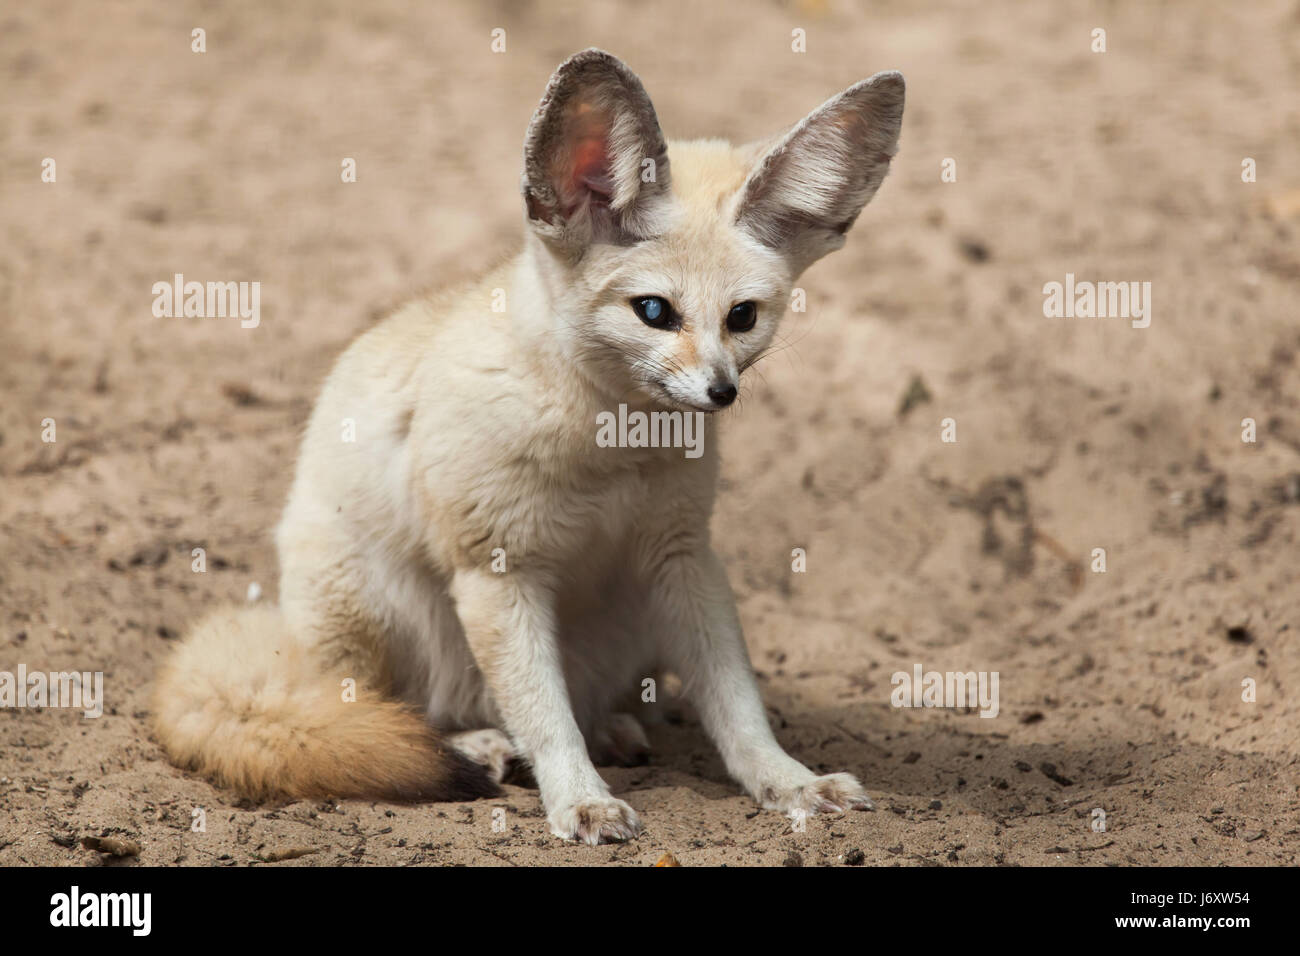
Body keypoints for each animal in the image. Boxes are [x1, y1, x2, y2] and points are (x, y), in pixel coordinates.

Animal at [152, 49, 905, 845]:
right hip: (362, 607)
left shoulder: (683, 556)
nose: (721, 392)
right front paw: (579, 798)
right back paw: (475, 745)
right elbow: (544, 714)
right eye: (654, 312)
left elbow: (737, 706)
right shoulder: (497, 570)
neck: (611, 455)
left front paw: (788, 782)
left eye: (743, 318)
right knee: (390, 713)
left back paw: (605, 729)